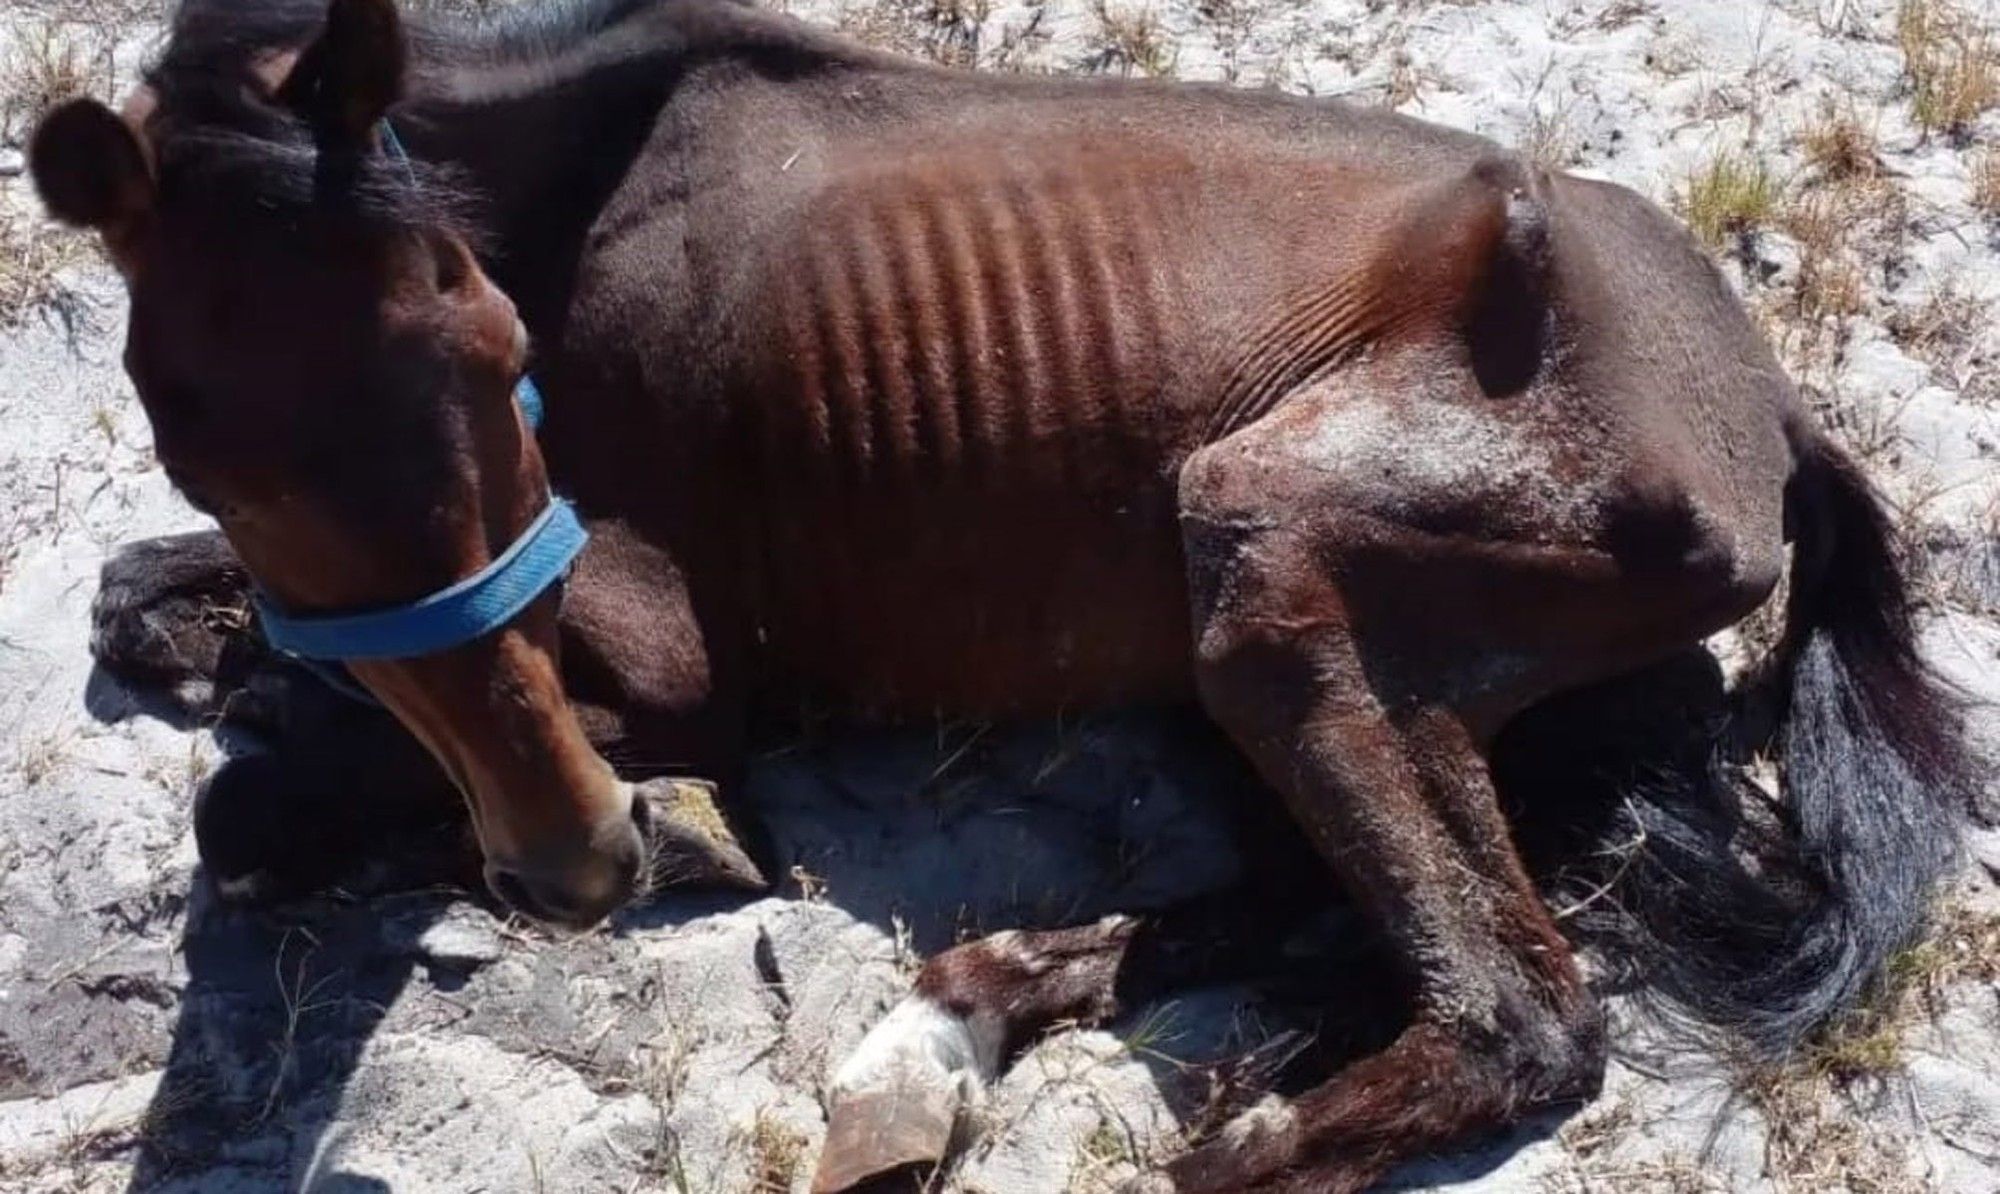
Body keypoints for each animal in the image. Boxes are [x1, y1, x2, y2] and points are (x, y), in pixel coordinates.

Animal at [30, 0, 1979, 1189]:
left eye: (498, 358)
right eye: (202, 449)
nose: (577, 860)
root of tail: (1777, 413)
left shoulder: (674, 657)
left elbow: (257, 801)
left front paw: (673, 825)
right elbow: (157, 602)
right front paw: (223, 642)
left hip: (1264, 551)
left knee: (1513, 1013)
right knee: (1331, 907)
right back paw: (957, 1021)